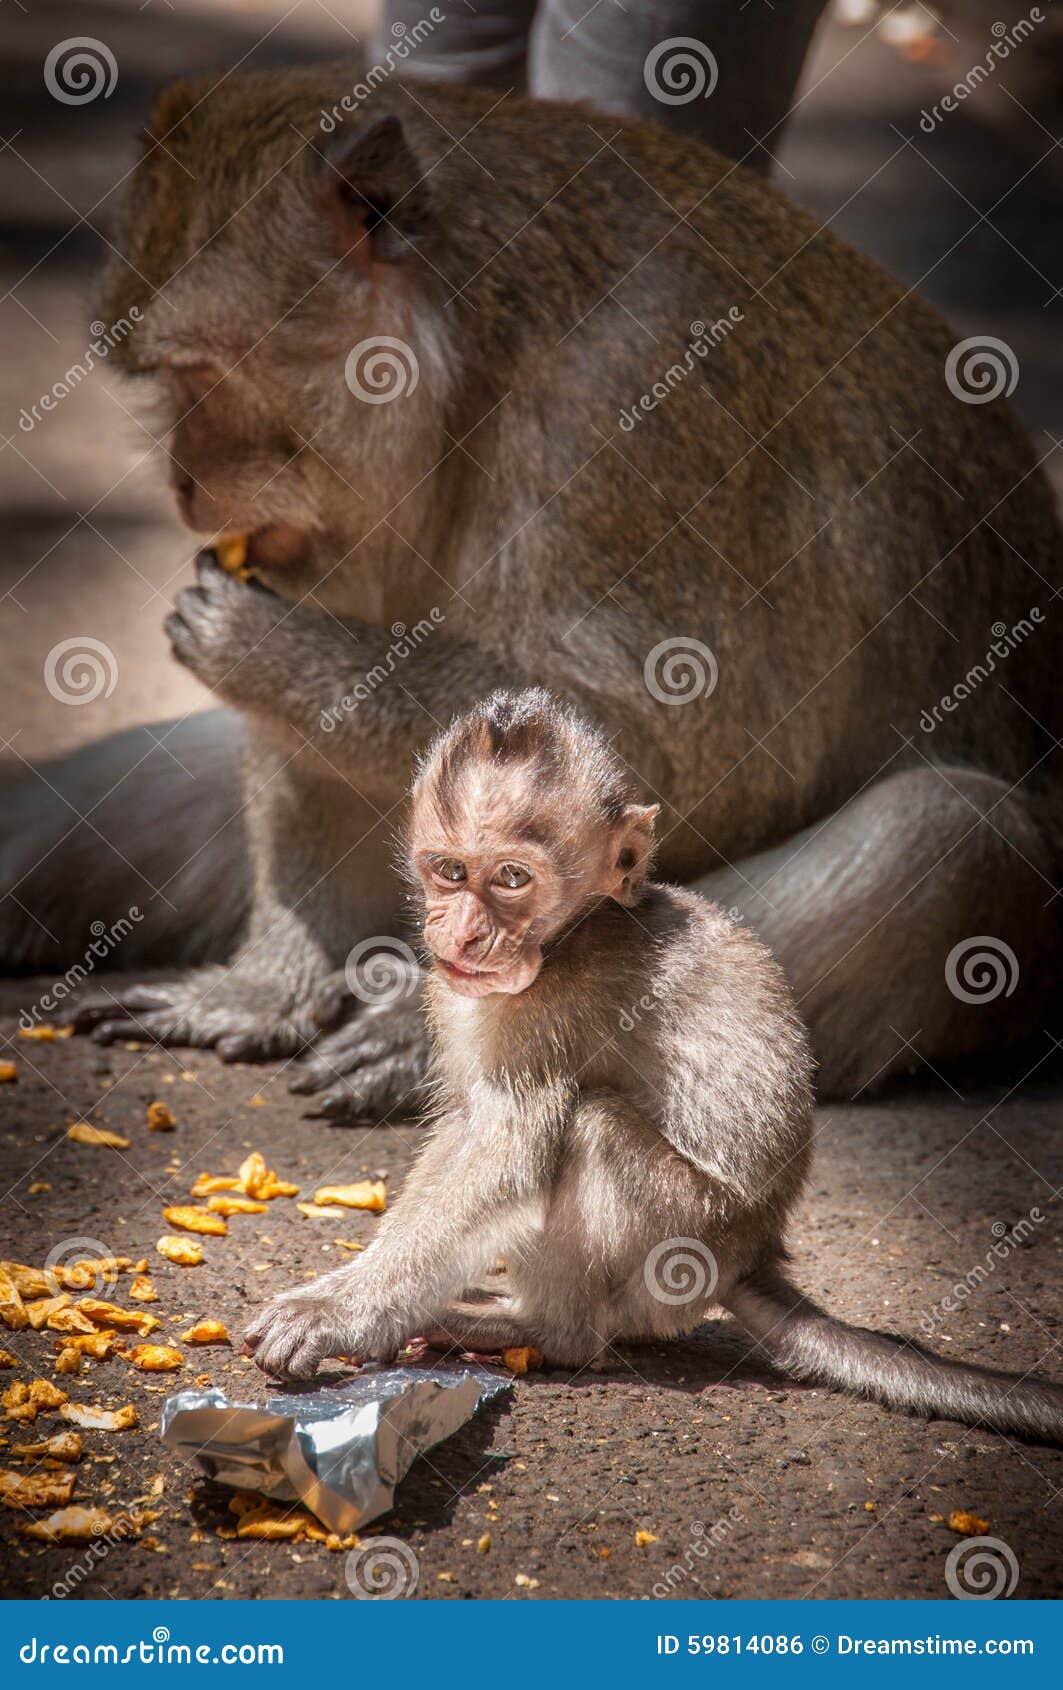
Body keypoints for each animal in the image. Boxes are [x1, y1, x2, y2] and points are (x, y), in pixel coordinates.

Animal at [4, 64, 1061, 1112]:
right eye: (161, 386)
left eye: (200, 378)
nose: (183, 480)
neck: (483, 345)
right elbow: (306, 738)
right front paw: (269, 987)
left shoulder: (626, 414)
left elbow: (672, 751)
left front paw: (271, 653)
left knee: (950, 844)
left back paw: (437, 1037)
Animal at [244, 690, 1063, 1445]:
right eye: (449, 870)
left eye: (511, 878)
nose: (466, 934)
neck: (569, 934)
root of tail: (753, 1255)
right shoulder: (454, 992)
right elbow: (468, 1129)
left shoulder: (554, 1005)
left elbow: (509, 1156)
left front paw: (341, 1314)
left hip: (687, 1242)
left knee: (592, 1128)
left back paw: (549, 1330)